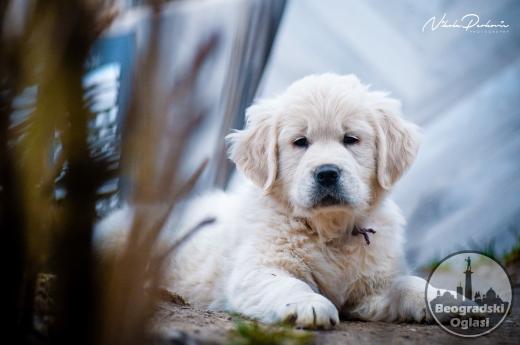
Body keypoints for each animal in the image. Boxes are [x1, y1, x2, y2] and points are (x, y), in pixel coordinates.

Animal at [97, 73, 430, 328]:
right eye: (300, 142)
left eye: (351, 139)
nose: (327, 173)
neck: (329, 230)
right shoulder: (257, 268)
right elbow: (286, 282)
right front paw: (308, 304)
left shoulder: (373, 284)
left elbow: (405, 283)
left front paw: (436, 297)